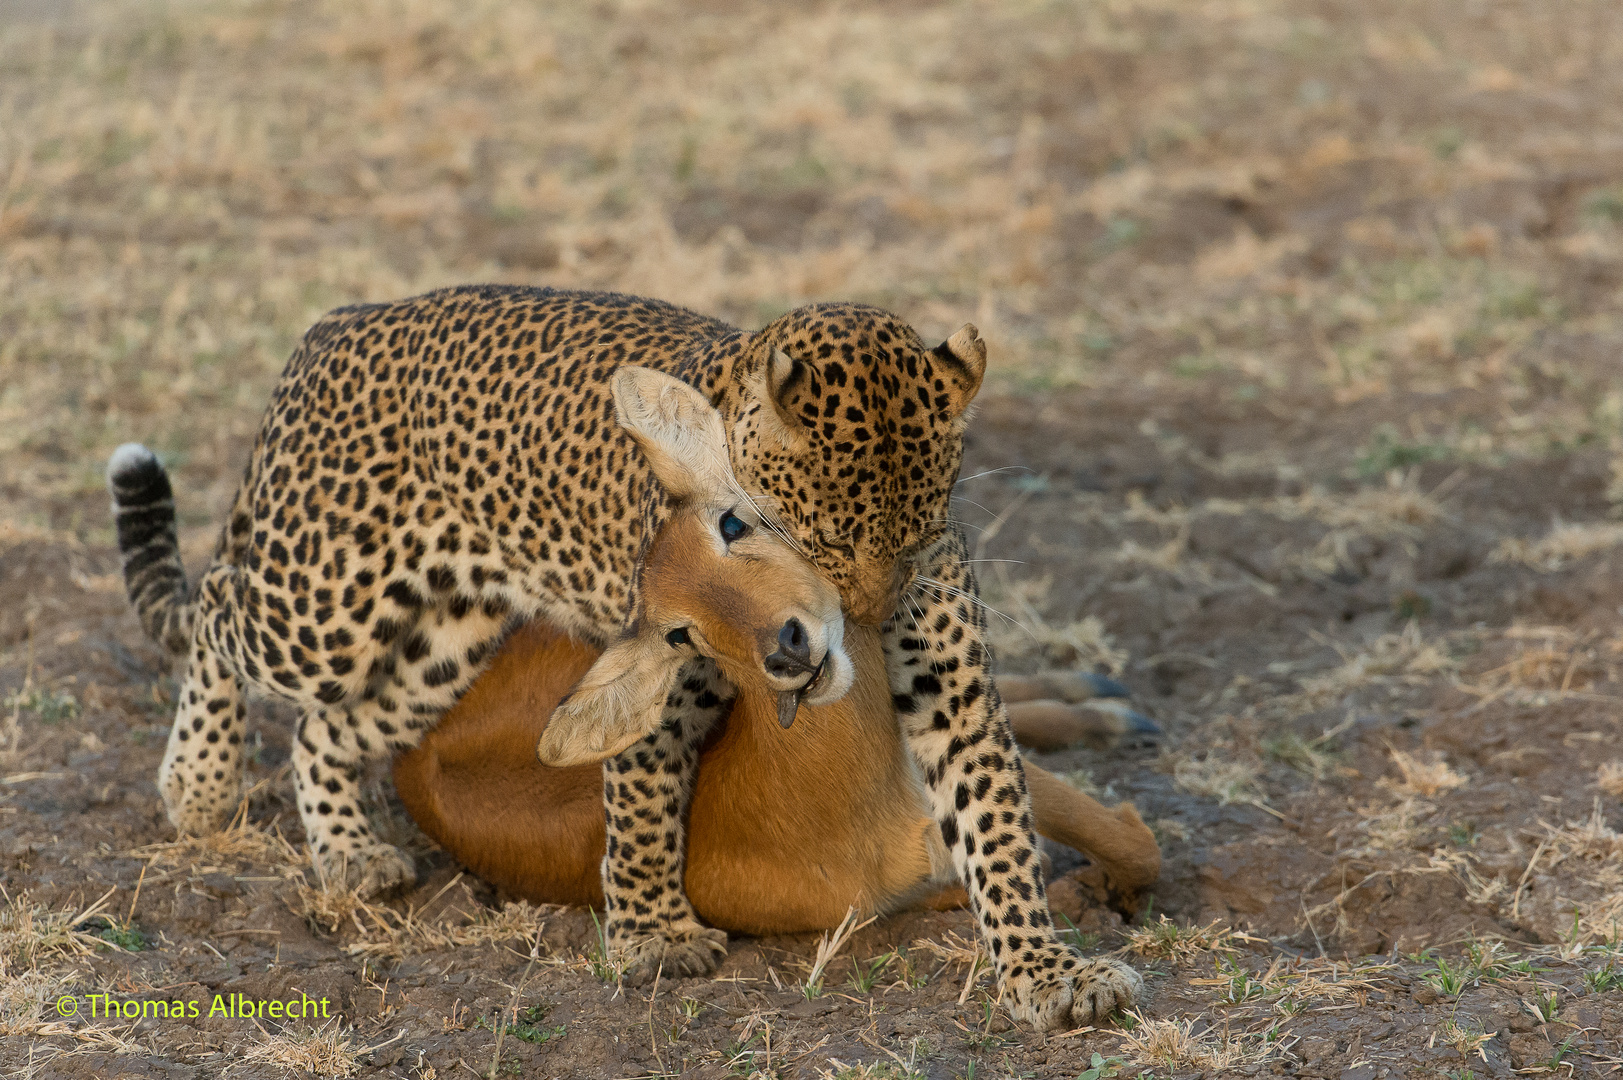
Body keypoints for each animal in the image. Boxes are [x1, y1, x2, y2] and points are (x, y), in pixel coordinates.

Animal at [107, 284, 1143, 1030]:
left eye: (923, 534)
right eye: (824, 536)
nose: (857, 627)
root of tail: (330, 329)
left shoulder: (950, 685)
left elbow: (996, 826)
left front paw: (1046, 974)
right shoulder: (666, 664)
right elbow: (642, 794)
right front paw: (650, 936)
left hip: (443, 648)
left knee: (326, 730)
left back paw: (350, 850)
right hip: (326, 604)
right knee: (218, 611)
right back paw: (198, 784)